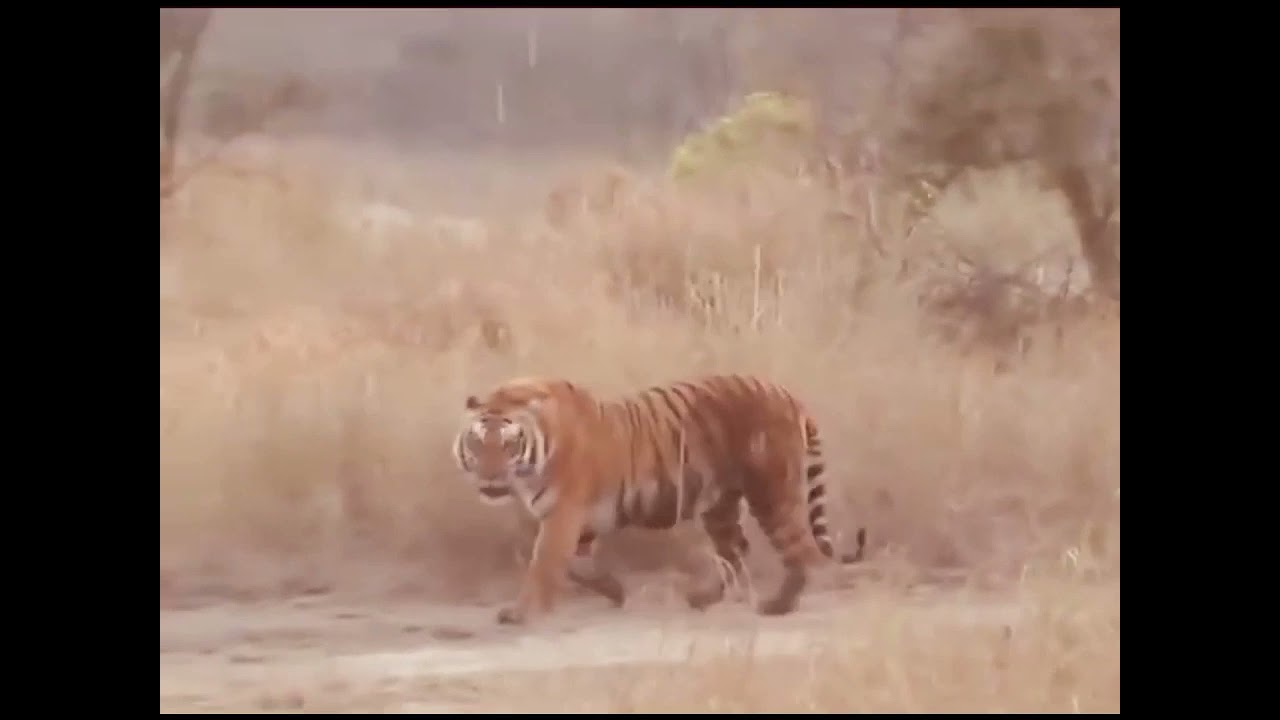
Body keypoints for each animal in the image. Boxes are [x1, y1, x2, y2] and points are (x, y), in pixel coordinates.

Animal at [451, 374, 868, 626]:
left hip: (771, 494)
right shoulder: (577, 524)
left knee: (803, 553)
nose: (489, 477)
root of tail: (788, 395)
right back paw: (705, 599)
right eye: (478, 443)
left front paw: (520, 613)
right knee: (736, 552)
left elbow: (544, 565)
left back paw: (779, 605)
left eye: (508, 445)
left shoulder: (563, 515)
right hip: (720, 503)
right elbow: (577, 567)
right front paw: (616, 591)